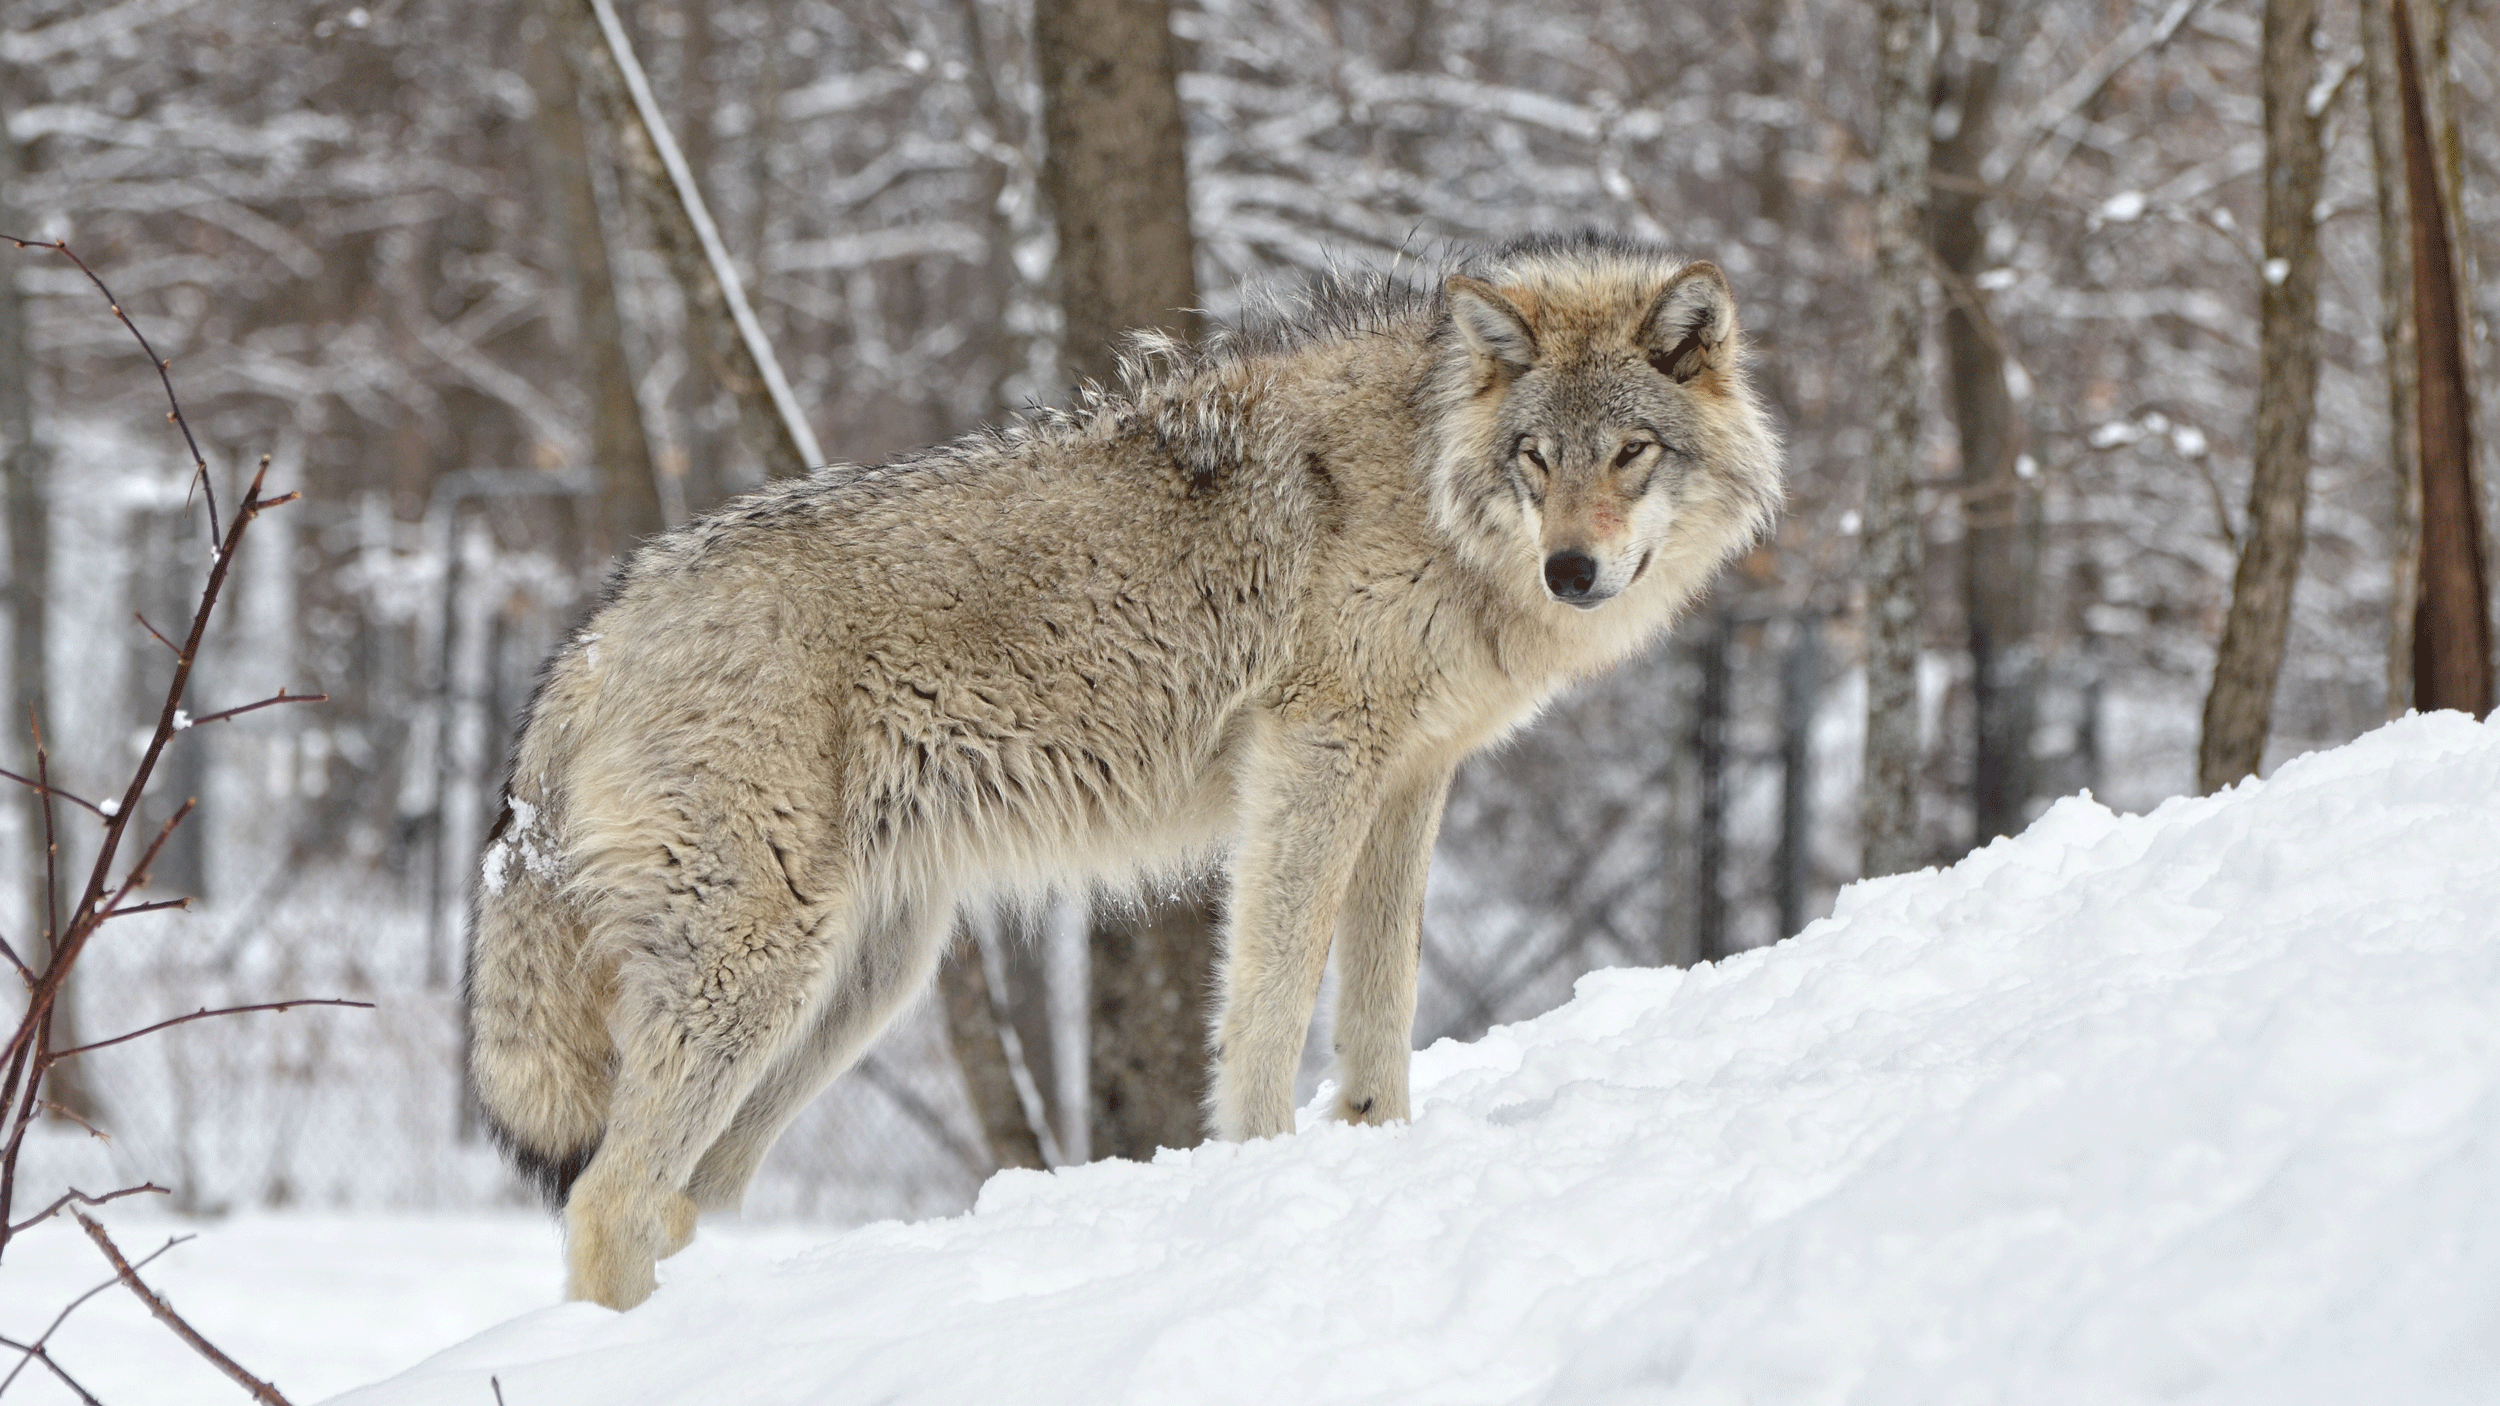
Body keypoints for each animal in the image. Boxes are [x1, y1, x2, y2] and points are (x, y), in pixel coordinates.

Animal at [465, 233, 1782, 1309]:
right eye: (1535, 457)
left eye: (1630, 451)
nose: (1572, 570)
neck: (1429, 490)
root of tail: (596, 633)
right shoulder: (1313, 762)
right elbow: (1267, 1007)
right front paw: (1263, 1172)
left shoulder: (1409, 782)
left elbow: (1379, 1006)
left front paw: (1375, 1144)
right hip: (759, 975)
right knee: (607, 1199)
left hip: (861, 980)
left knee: (676, 1197)